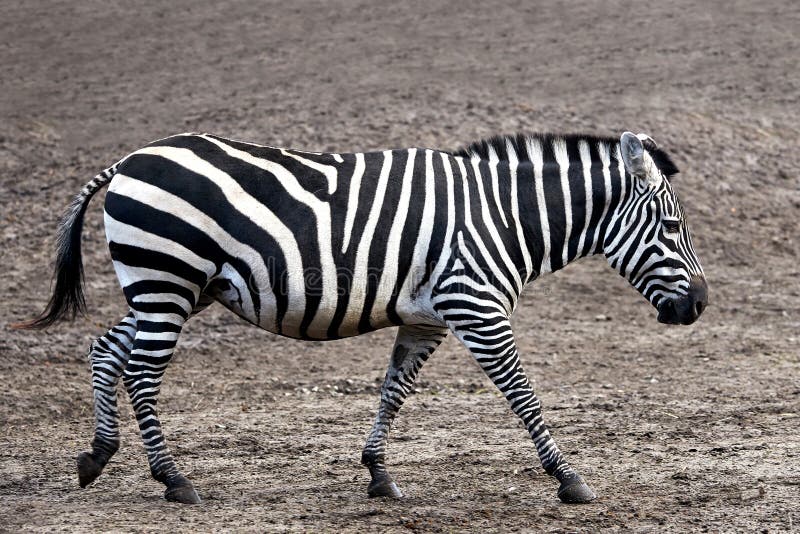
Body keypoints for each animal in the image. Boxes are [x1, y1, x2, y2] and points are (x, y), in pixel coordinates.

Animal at [18, 130, 707, 505]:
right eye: (673, 227)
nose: (700, 304)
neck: (504, 217)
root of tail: (132, 158)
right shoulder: (475, 306)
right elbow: (522, 393)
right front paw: (568, 478)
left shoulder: (428, 316)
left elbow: (394, 389)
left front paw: (378, 473)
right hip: (166, 280)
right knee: (141, 371)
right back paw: (173, 479)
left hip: (173, 288)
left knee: (107, 350)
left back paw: (97, 455)